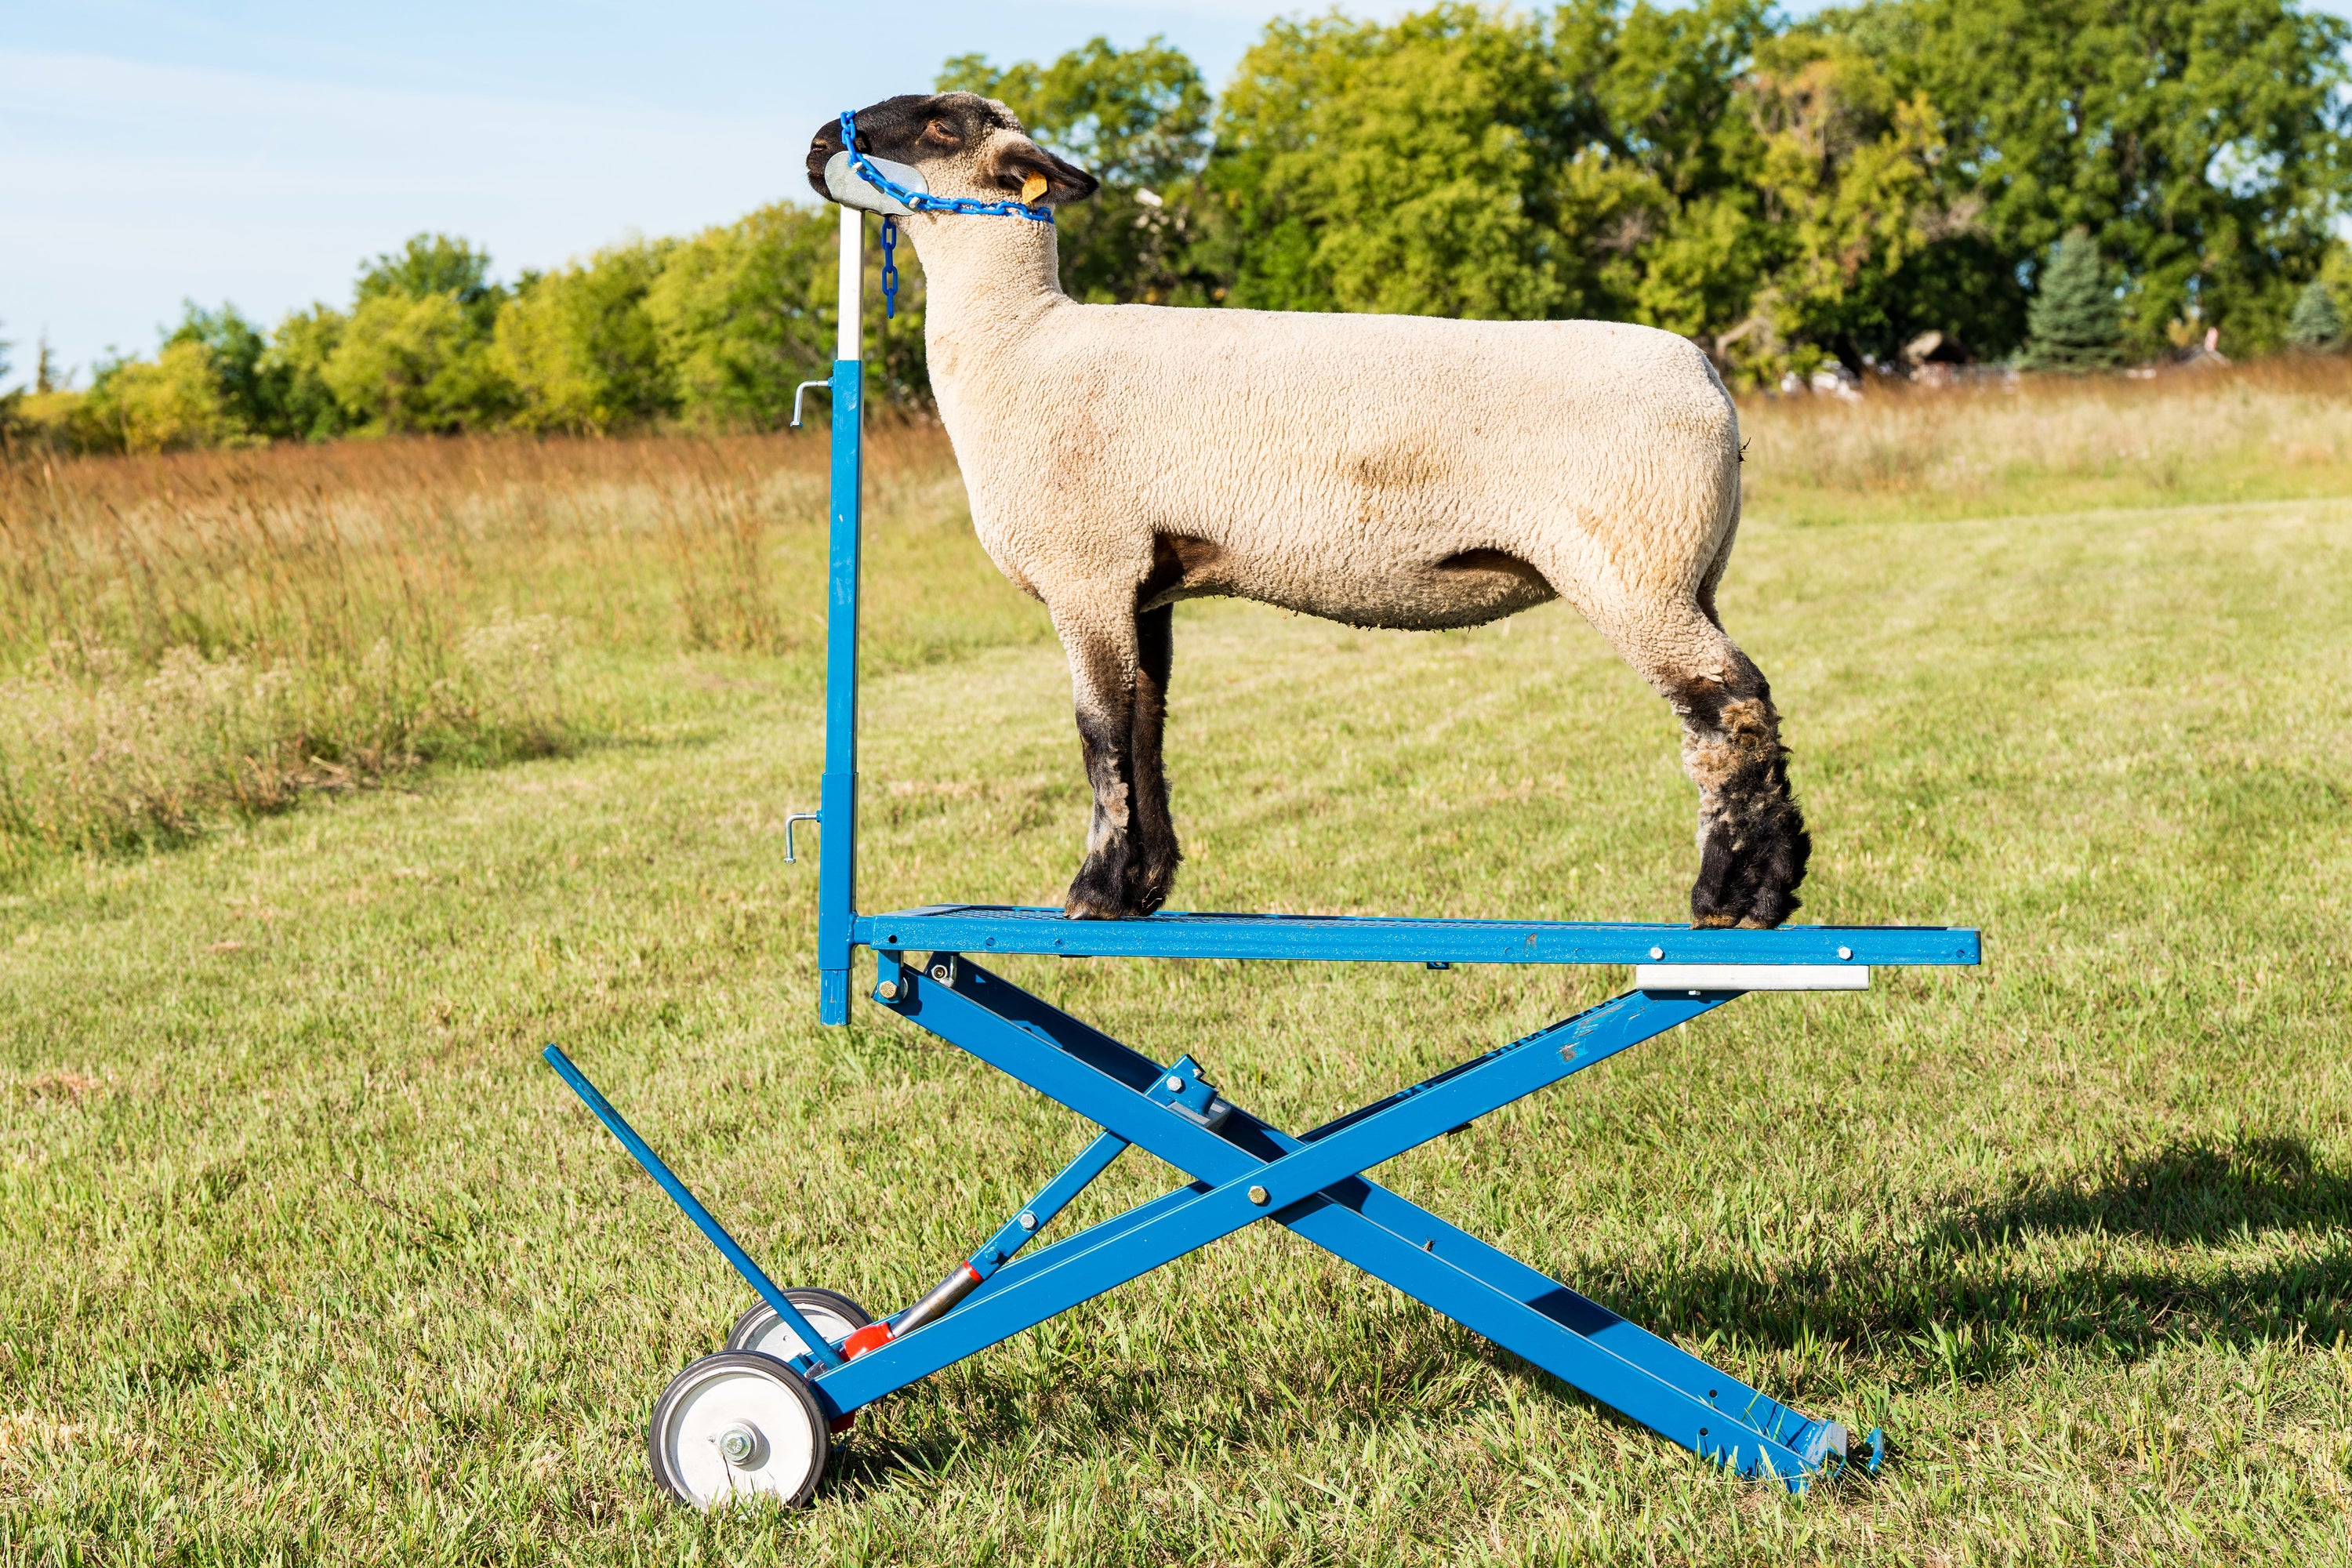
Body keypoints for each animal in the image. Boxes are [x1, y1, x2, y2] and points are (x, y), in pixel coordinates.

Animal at [807, 94, 1810, 929]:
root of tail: (1708, 378)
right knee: (1742, 703)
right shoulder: (1145, 583)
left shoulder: (1087, 568)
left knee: (1728, 708)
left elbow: (1100, 731)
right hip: (1690, 569)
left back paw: (1735, 899)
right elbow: (1146, 723)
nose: (819, 141)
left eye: (942, 127)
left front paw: (1094, 891)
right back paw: (1771, 882)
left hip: (1633, 563)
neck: (1017, 345)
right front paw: (1146, 886)